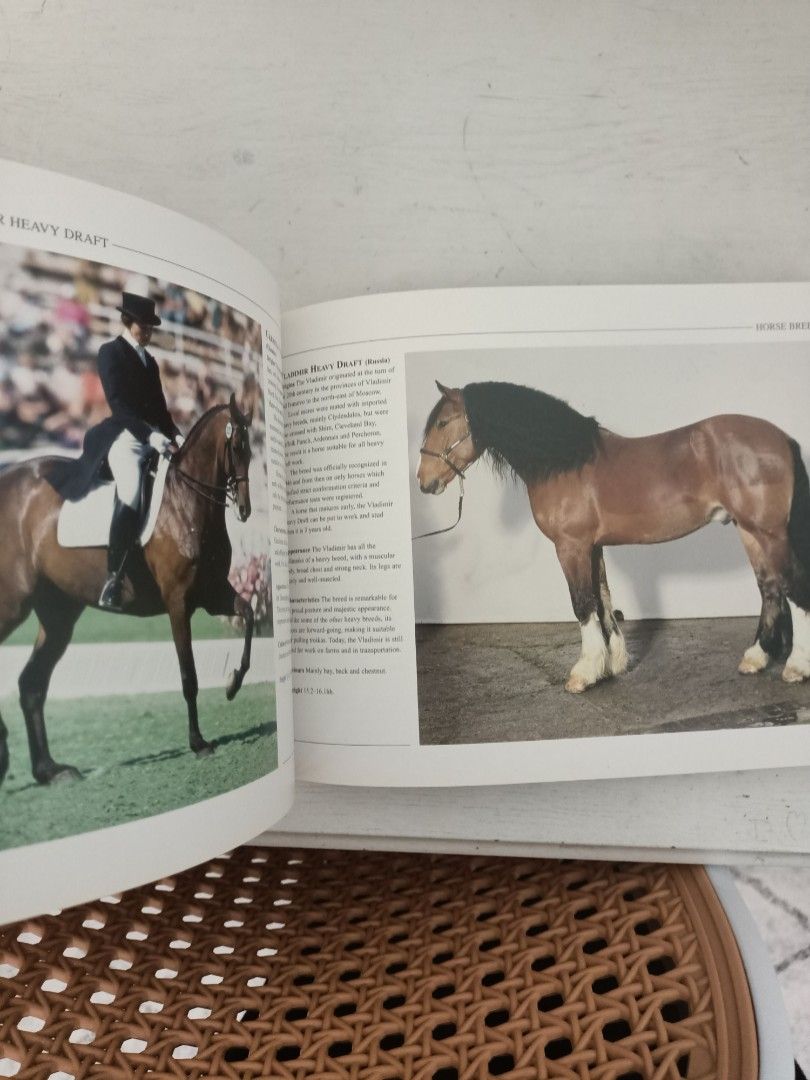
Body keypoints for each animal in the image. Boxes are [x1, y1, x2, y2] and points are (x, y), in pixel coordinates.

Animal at [0, 394, 255, 787]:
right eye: (237, 444)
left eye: (251, 448)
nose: (244, 509)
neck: (187, 503)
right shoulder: (178, 602)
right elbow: (189, 676)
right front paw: (199, 743)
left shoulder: (212, 594)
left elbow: (249, 614)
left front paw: (232, 683)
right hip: (12, 604)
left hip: (58, 614)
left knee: (32, 684)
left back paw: (51, 771)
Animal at [417, 380, 810, 694]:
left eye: (442, 422)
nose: (424, 481)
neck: (564, 462)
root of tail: (782, 439)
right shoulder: (593, 548)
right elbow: (603, 600)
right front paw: (611, 665)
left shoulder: (571, 547)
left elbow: (582, 604)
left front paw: (583, 673)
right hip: (750, 531)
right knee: (770, 588)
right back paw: (755, 659)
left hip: (769, 533)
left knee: (793, 589)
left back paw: (795, 667)